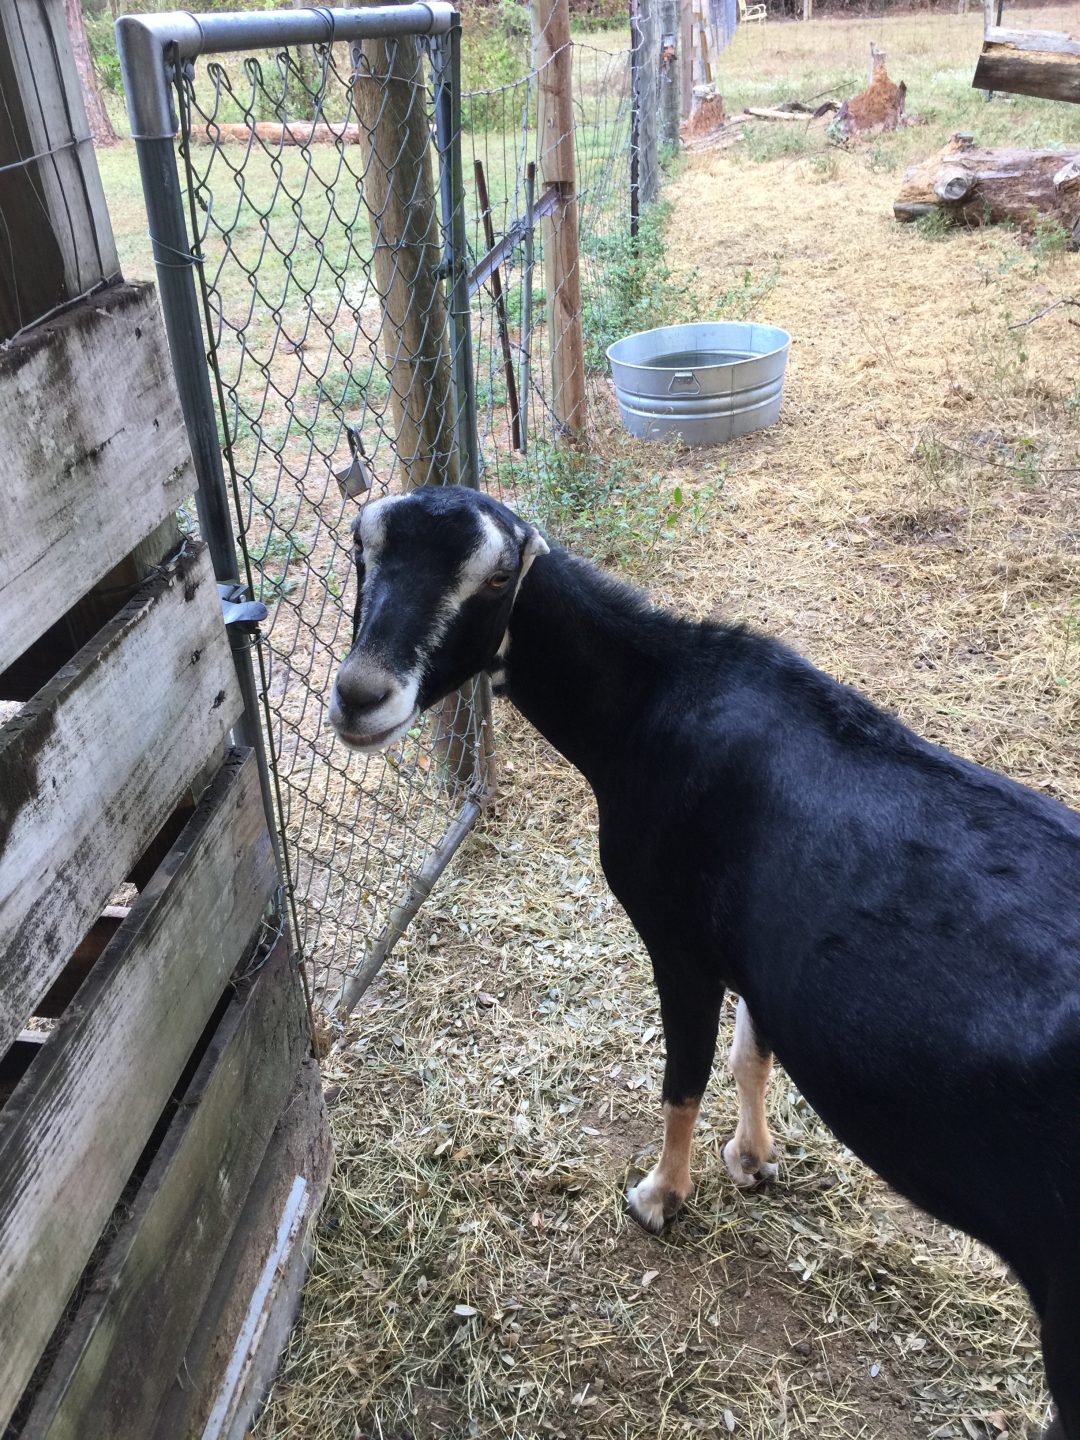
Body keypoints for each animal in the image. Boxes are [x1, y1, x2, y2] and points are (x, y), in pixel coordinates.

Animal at [329, 485, 1080, 1439]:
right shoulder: (757, 951)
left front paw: (660, 1196)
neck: (651, 702)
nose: (360, 696)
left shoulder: (679, 939)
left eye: (497, 577)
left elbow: (683, 1073)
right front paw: (751, 1159)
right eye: (360, 549)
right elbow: (751, 1054)